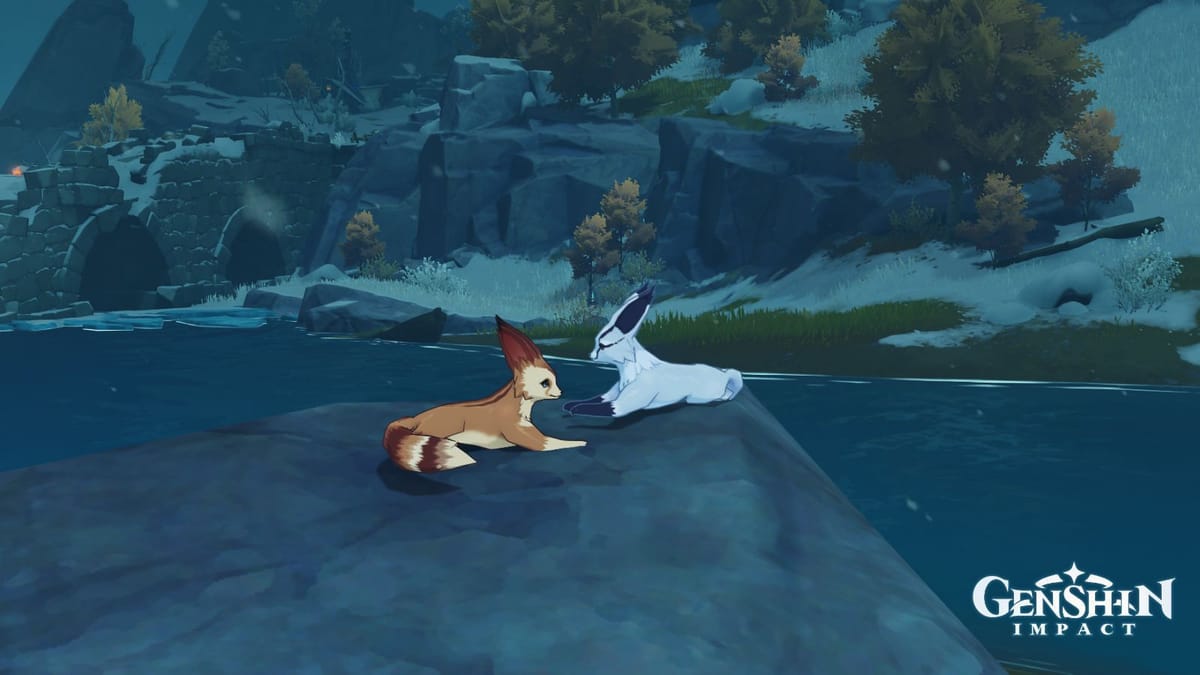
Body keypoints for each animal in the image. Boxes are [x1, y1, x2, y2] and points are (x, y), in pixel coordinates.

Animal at [383, 316, 587, 472]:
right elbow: (554, 443)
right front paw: (580, 442)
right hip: (448, 424)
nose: (560, 392)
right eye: (546, 383)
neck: (520, 403)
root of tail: (416, 418)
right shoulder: (520, 432)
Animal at [563, 283, 743, 418]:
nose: (591, 355)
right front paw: (569, 404)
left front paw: (574, 409)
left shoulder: (624, 403)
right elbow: (595, 398)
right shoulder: (611, 394)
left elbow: (602, 408)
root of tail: (725, 375)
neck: (634, 369)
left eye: (604, 345)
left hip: (700, 396)